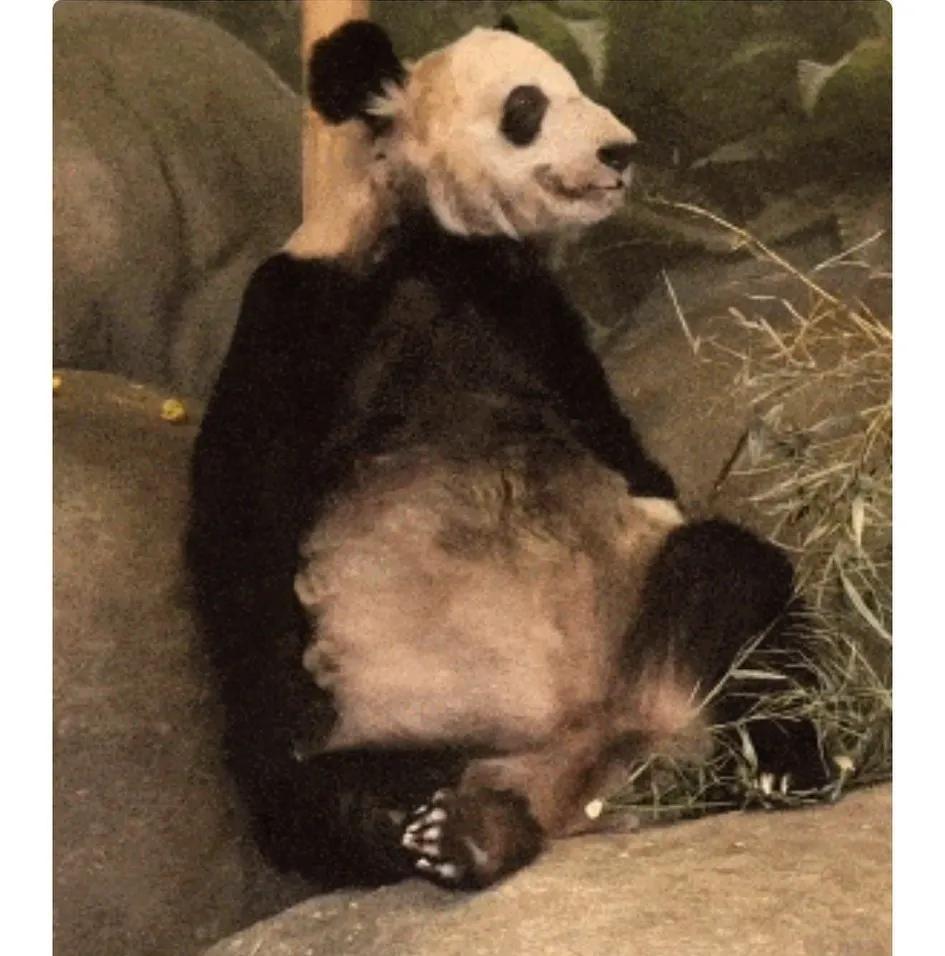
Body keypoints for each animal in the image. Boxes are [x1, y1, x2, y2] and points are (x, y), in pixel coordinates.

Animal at [186, 20, 828, 891]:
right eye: (526, 107)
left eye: (574, 86)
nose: (620, 150)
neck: (438, 242)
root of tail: (578, 767)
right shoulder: (306, 303)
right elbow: (238, 518)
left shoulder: (530, 313)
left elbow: (628, 457)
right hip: (405, 727)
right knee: (315, 796)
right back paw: (453, 833)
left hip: (648, 613)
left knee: (733, 587)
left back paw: (777, 766)